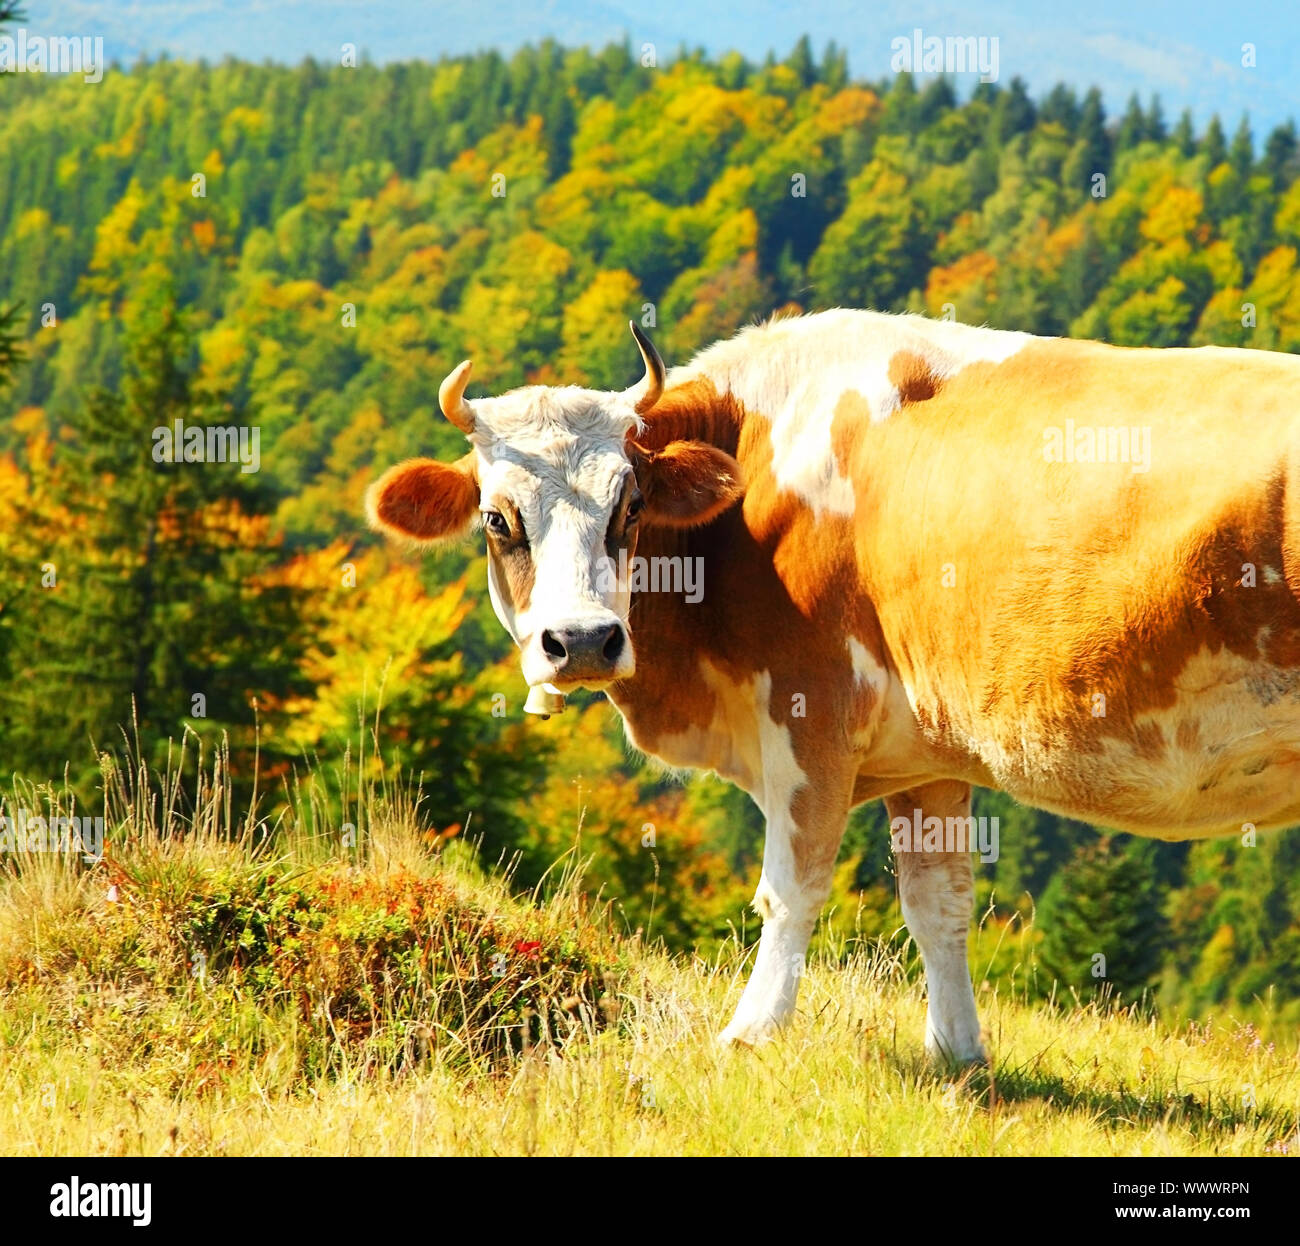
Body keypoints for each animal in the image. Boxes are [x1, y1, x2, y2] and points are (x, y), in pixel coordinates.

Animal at [366, 308, 1300, 1063]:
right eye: (498, 518)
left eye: (629, 507)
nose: (586, 640)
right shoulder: (930, 752)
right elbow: (939, 902)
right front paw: (957, 1054)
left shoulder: (807, 711)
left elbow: (791, 889)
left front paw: (750, 1034)